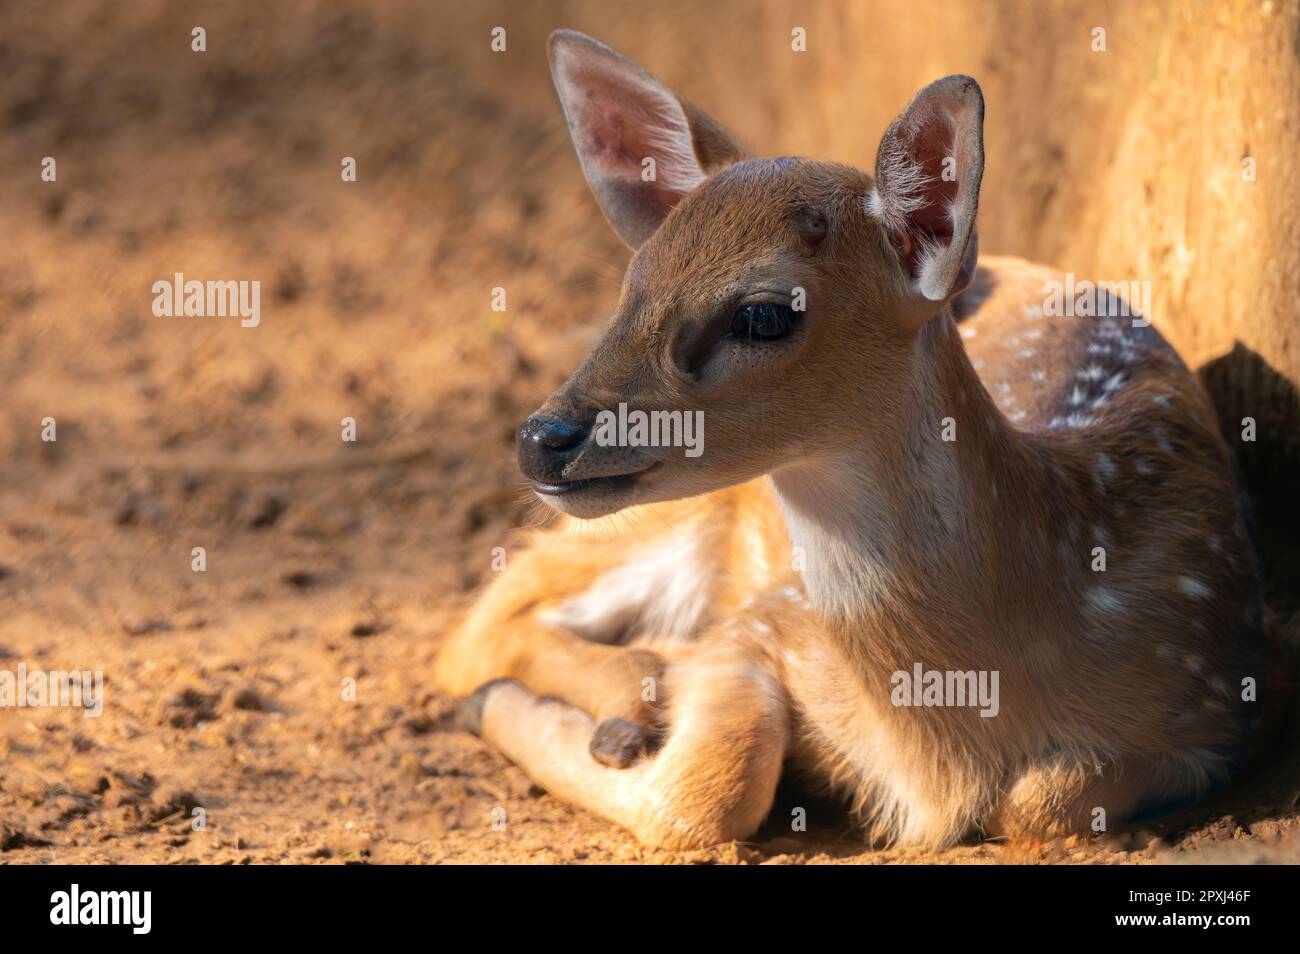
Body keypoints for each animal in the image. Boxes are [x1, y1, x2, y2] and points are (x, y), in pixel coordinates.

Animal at [432, 29, 1277, 851]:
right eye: (632, 283)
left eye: (764, 314)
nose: (543, 438)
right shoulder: (770, 614)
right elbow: (708, 793)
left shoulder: (1210, 710)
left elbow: (1040, 802)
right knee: (478, 631)